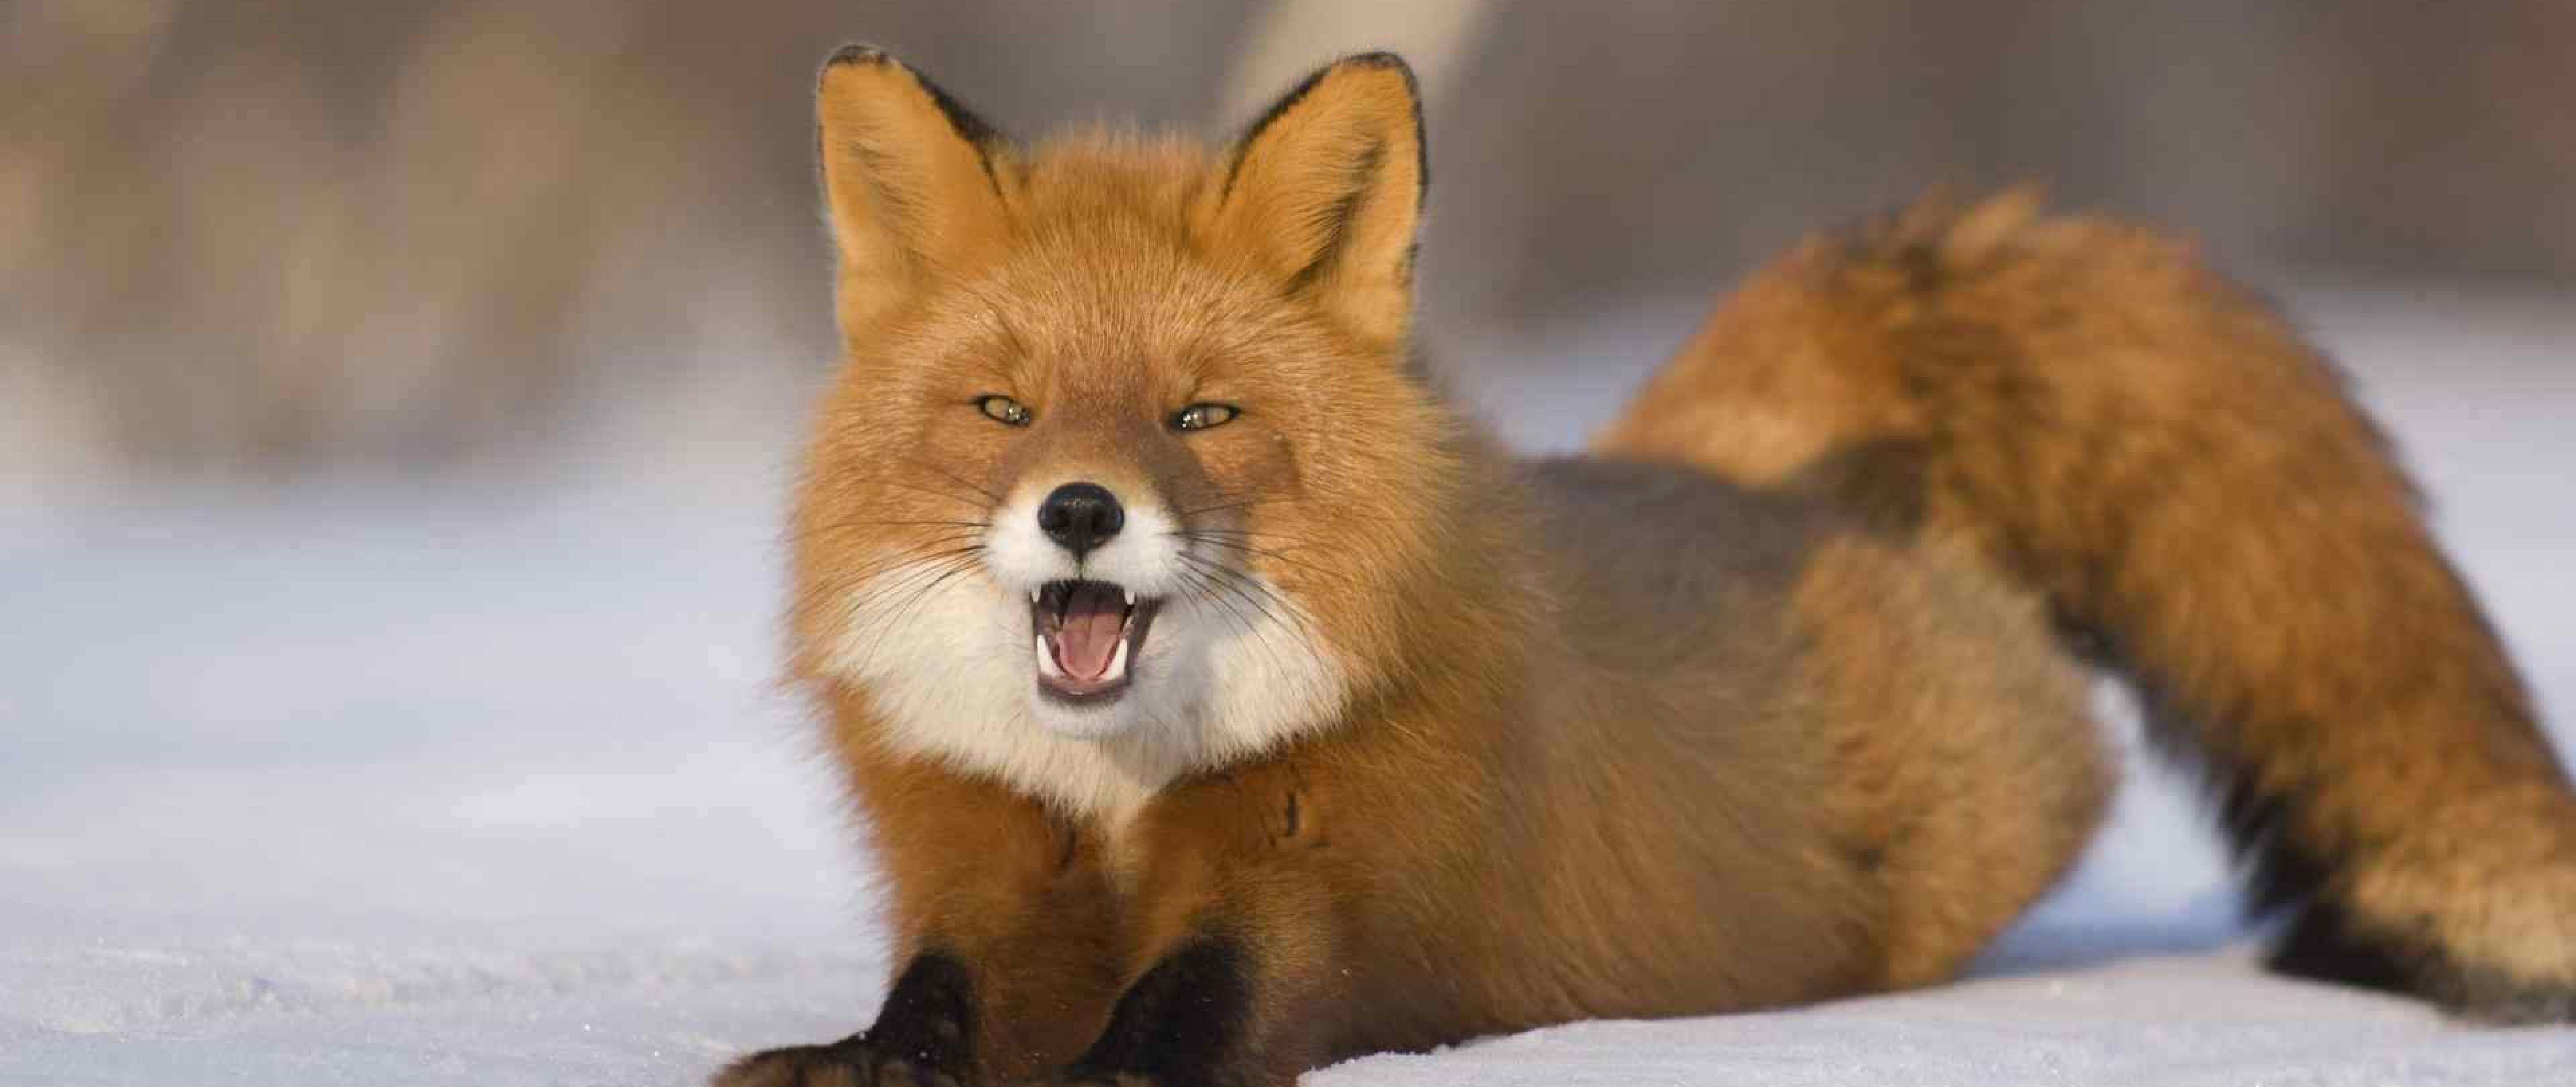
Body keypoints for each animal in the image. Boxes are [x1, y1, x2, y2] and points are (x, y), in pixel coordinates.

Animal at [716, 46, 2576, 1087]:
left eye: (1201, 413)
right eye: (1006, 409)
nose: (1084, 512)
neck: (1116, 787)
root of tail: (1729, 469)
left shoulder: (1324, 868)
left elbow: (1201, 1014)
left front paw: (1107, 1072)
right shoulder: (974, 845)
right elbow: (941, 998)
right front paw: (854, 1063)